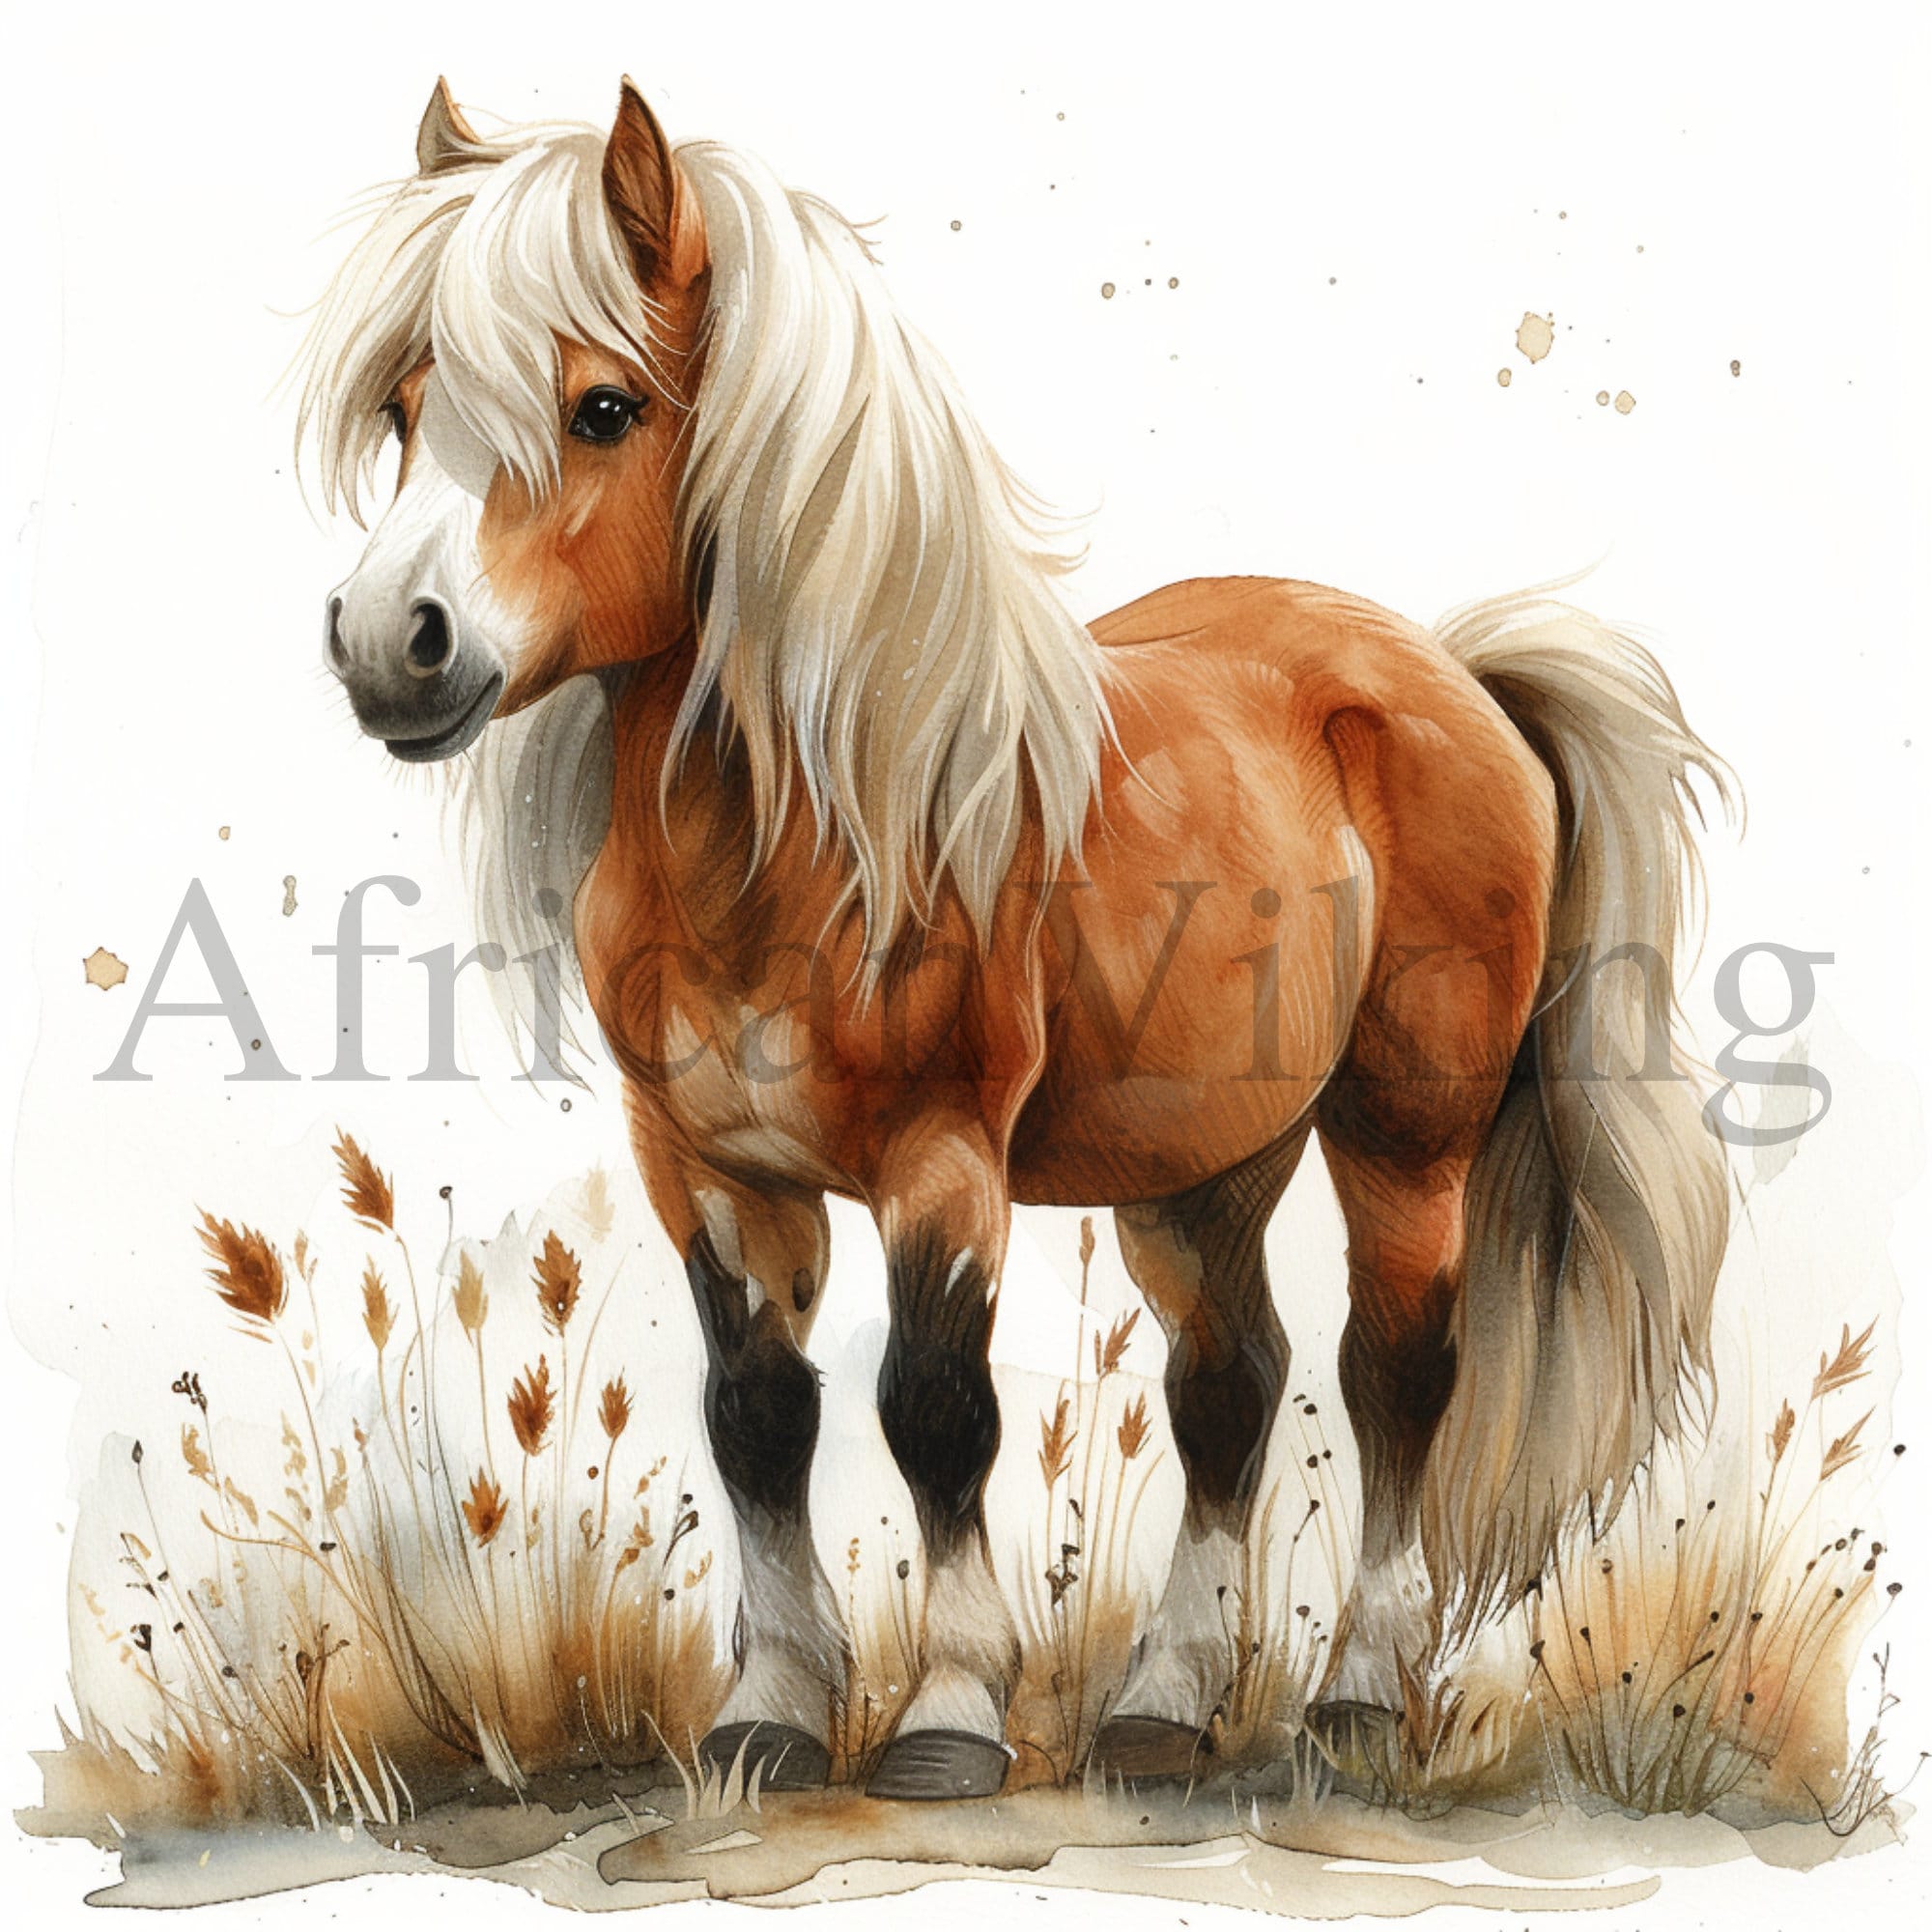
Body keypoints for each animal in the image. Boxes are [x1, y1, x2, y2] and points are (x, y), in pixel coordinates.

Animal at [302, 78, 1731, 1800]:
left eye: (602, 408)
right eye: (403, 411)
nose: (389, 646)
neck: (819, 835)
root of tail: (1449, 672)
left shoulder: (944, 1157)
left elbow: (935, 1408)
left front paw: (947, 1714)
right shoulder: (708, 1164)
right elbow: (757, 1415)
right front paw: (775, 1710)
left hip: (1407, 1138)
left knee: (1397, 1377)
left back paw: (1360, 1696)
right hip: (1204, 1165)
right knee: (1230, 1384)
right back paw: (1163, 1706)